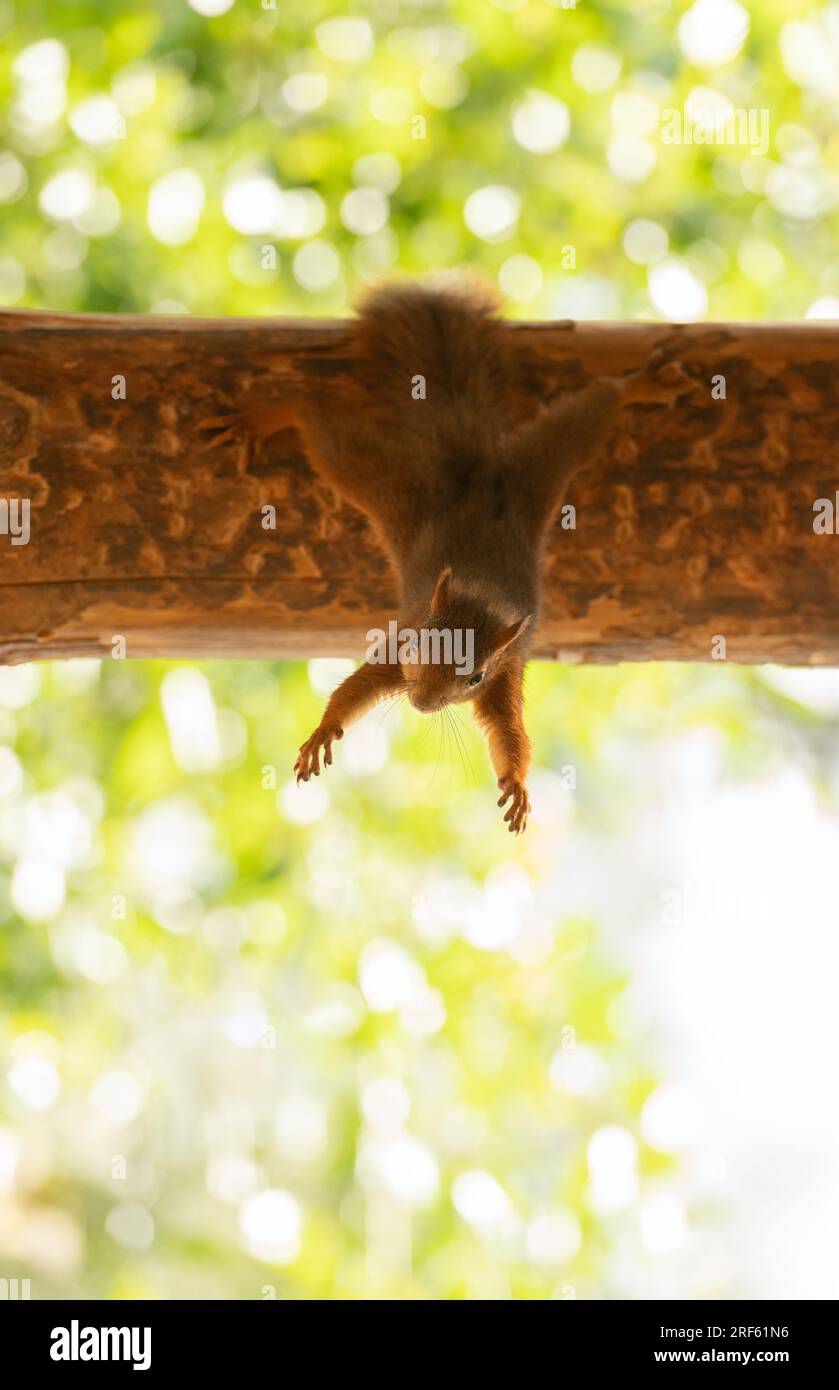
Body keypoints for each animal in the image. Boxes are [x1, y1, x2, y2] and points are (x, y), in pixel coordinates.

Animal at [290, 277, 686, 833]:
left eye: (474, 677)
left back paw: (645, 385)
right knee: (328, 439)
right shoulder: (400, 641)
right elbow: (356, 689)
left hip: (536, 469)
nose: (421, 704)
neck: (482, 595)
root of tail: (470, 468)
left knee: (592, 408)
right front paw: (325, 730)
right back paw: (260, 415)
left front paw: (516, 784)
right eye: (421, 646)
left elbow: (507, 730)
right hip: (401, 492)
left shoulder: (506, 668)